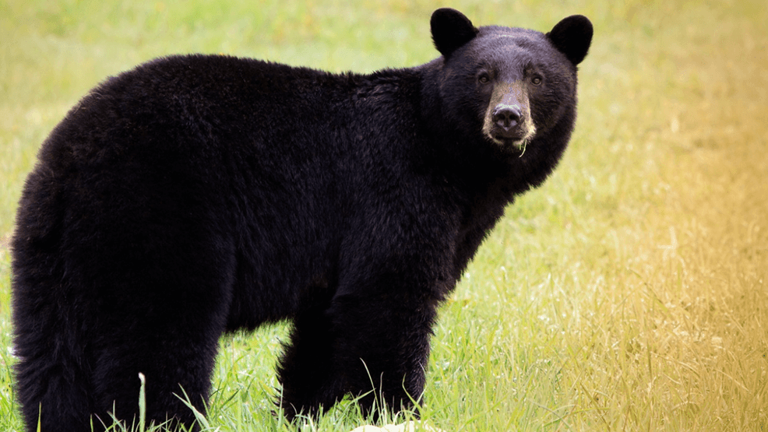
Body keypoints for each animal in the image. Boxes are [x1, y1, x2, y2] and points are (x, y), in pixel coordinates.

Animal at [11, 7, 592, 432]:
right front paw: (399, 413)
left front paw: (299, 414)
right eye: (482, 76)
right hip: (161, 218)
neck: (451, 160)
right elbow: (388, 301)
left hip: (54, 251)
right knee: (158, 342)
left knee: (52, 355)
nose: (508, 118)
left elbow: (325, 328)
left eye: (537, 77)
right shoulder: (394, 193)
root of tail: (71, 156)